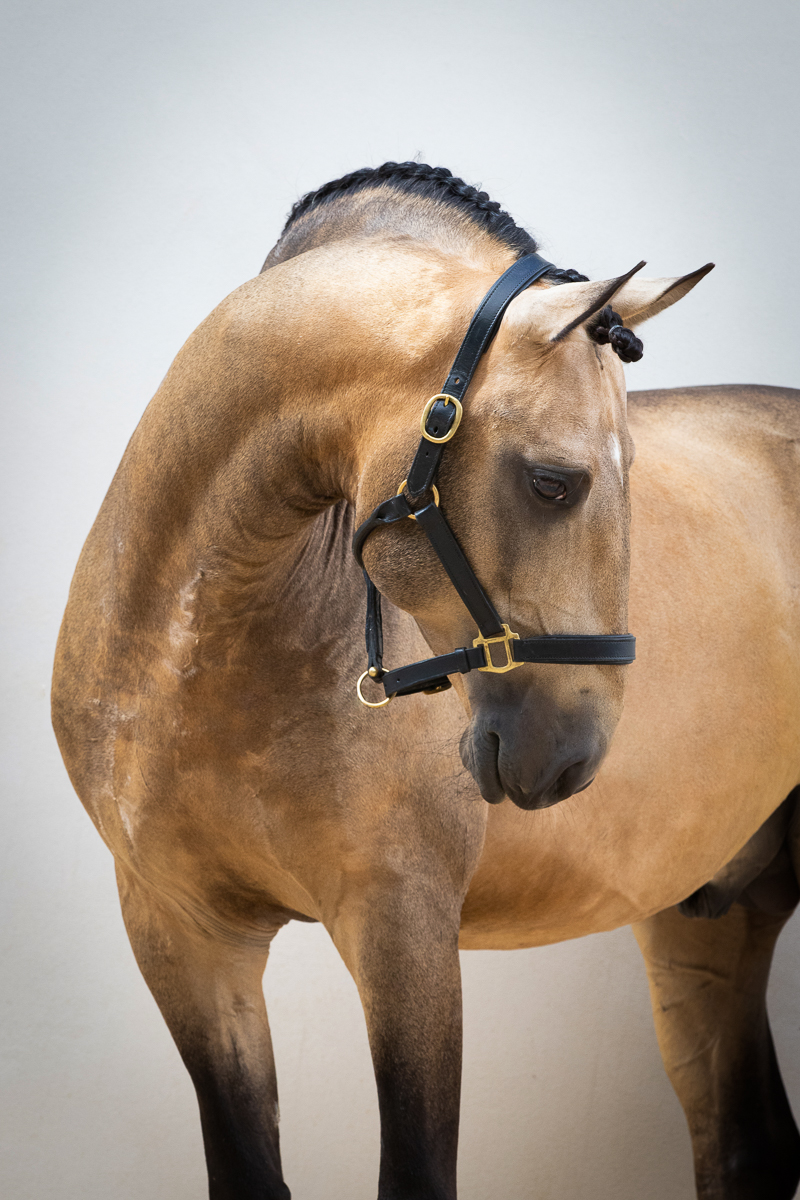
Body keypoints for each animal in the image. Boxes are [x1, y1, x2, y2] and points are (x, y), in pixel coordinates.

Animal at [51, 161, 800, 1200]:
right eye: (555, 482)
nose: (571, 757)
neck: (195, 655)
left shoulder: (404, 934)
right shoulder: (183, 937)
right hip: (701, 914)